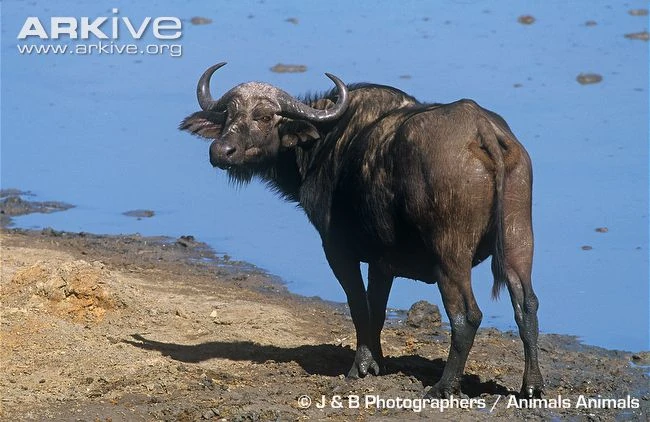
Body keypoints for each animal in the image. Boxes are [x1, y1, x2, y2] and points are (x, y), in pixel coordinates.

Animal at [180, 62, 544, 398]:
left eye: (266, 117)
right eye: (228, 115)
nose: (221, 151)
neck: (327, 142)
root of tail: (480, 129)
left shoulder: (338, 251)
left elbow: (358, 306)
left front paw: (360, 367)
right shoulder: (382, 263)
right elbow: (377, 310)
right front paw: (378, 364)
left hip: (449, 255)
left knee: (466, 315)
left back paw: (443, 386)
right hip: (518, 240)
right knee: (527, 303)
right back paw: (532, 386)